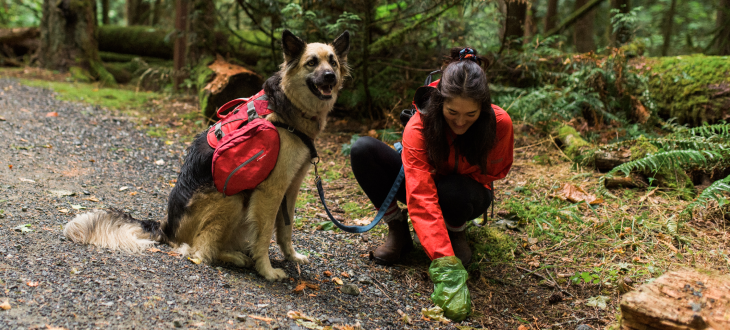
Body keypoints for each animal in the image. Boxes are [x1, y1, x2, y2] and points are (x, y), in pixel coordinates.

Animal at [62, 30, 350, 282]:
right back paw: (234, 257)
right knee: (197, 252)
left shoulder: (292, 185)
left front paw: (292, 257)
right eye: (311, 62)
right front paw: (266, 270)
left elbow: (286, 229)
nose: (329, 77)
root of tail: (167, 228)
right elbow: (265, 233)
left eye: (333, 62)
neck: (287, 107)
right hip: (231, 199)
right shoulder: (271, 191)